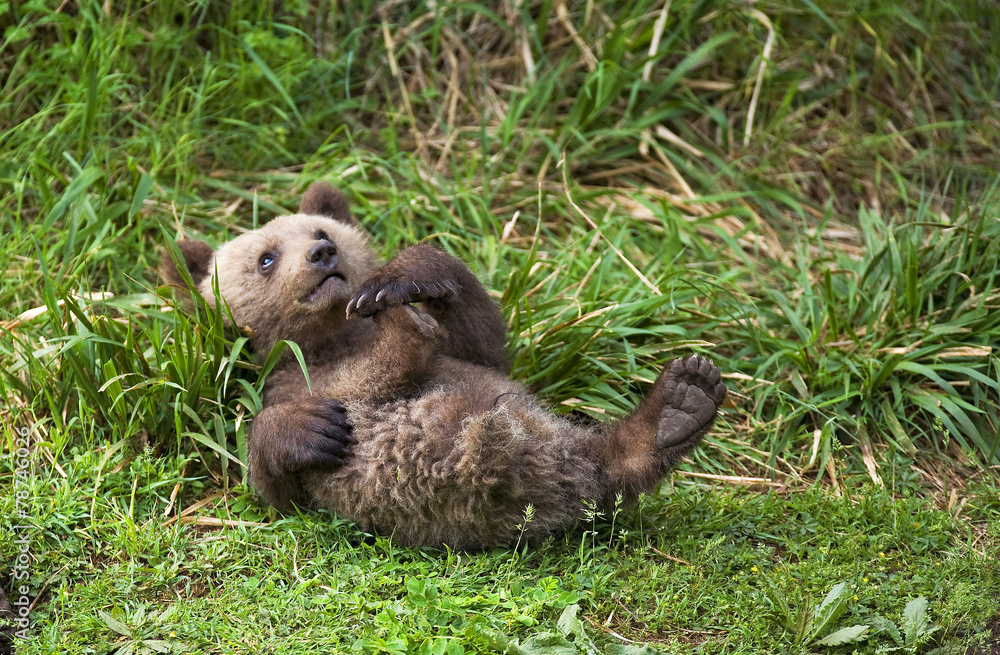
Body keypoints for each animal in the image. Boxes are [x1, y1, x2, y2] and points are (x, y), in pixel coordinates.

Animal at [160, 181, 727, 549]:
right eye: (267, 257)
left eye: (323, 229)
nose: (321, 254)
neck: (333, 337)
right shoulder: (280, 381)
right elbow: (273, 485)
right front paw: (310, 426)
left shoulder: (464, 351)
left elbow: (483, 335)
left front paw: (399, 282)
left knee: (602, 453)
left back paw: (682, 401)